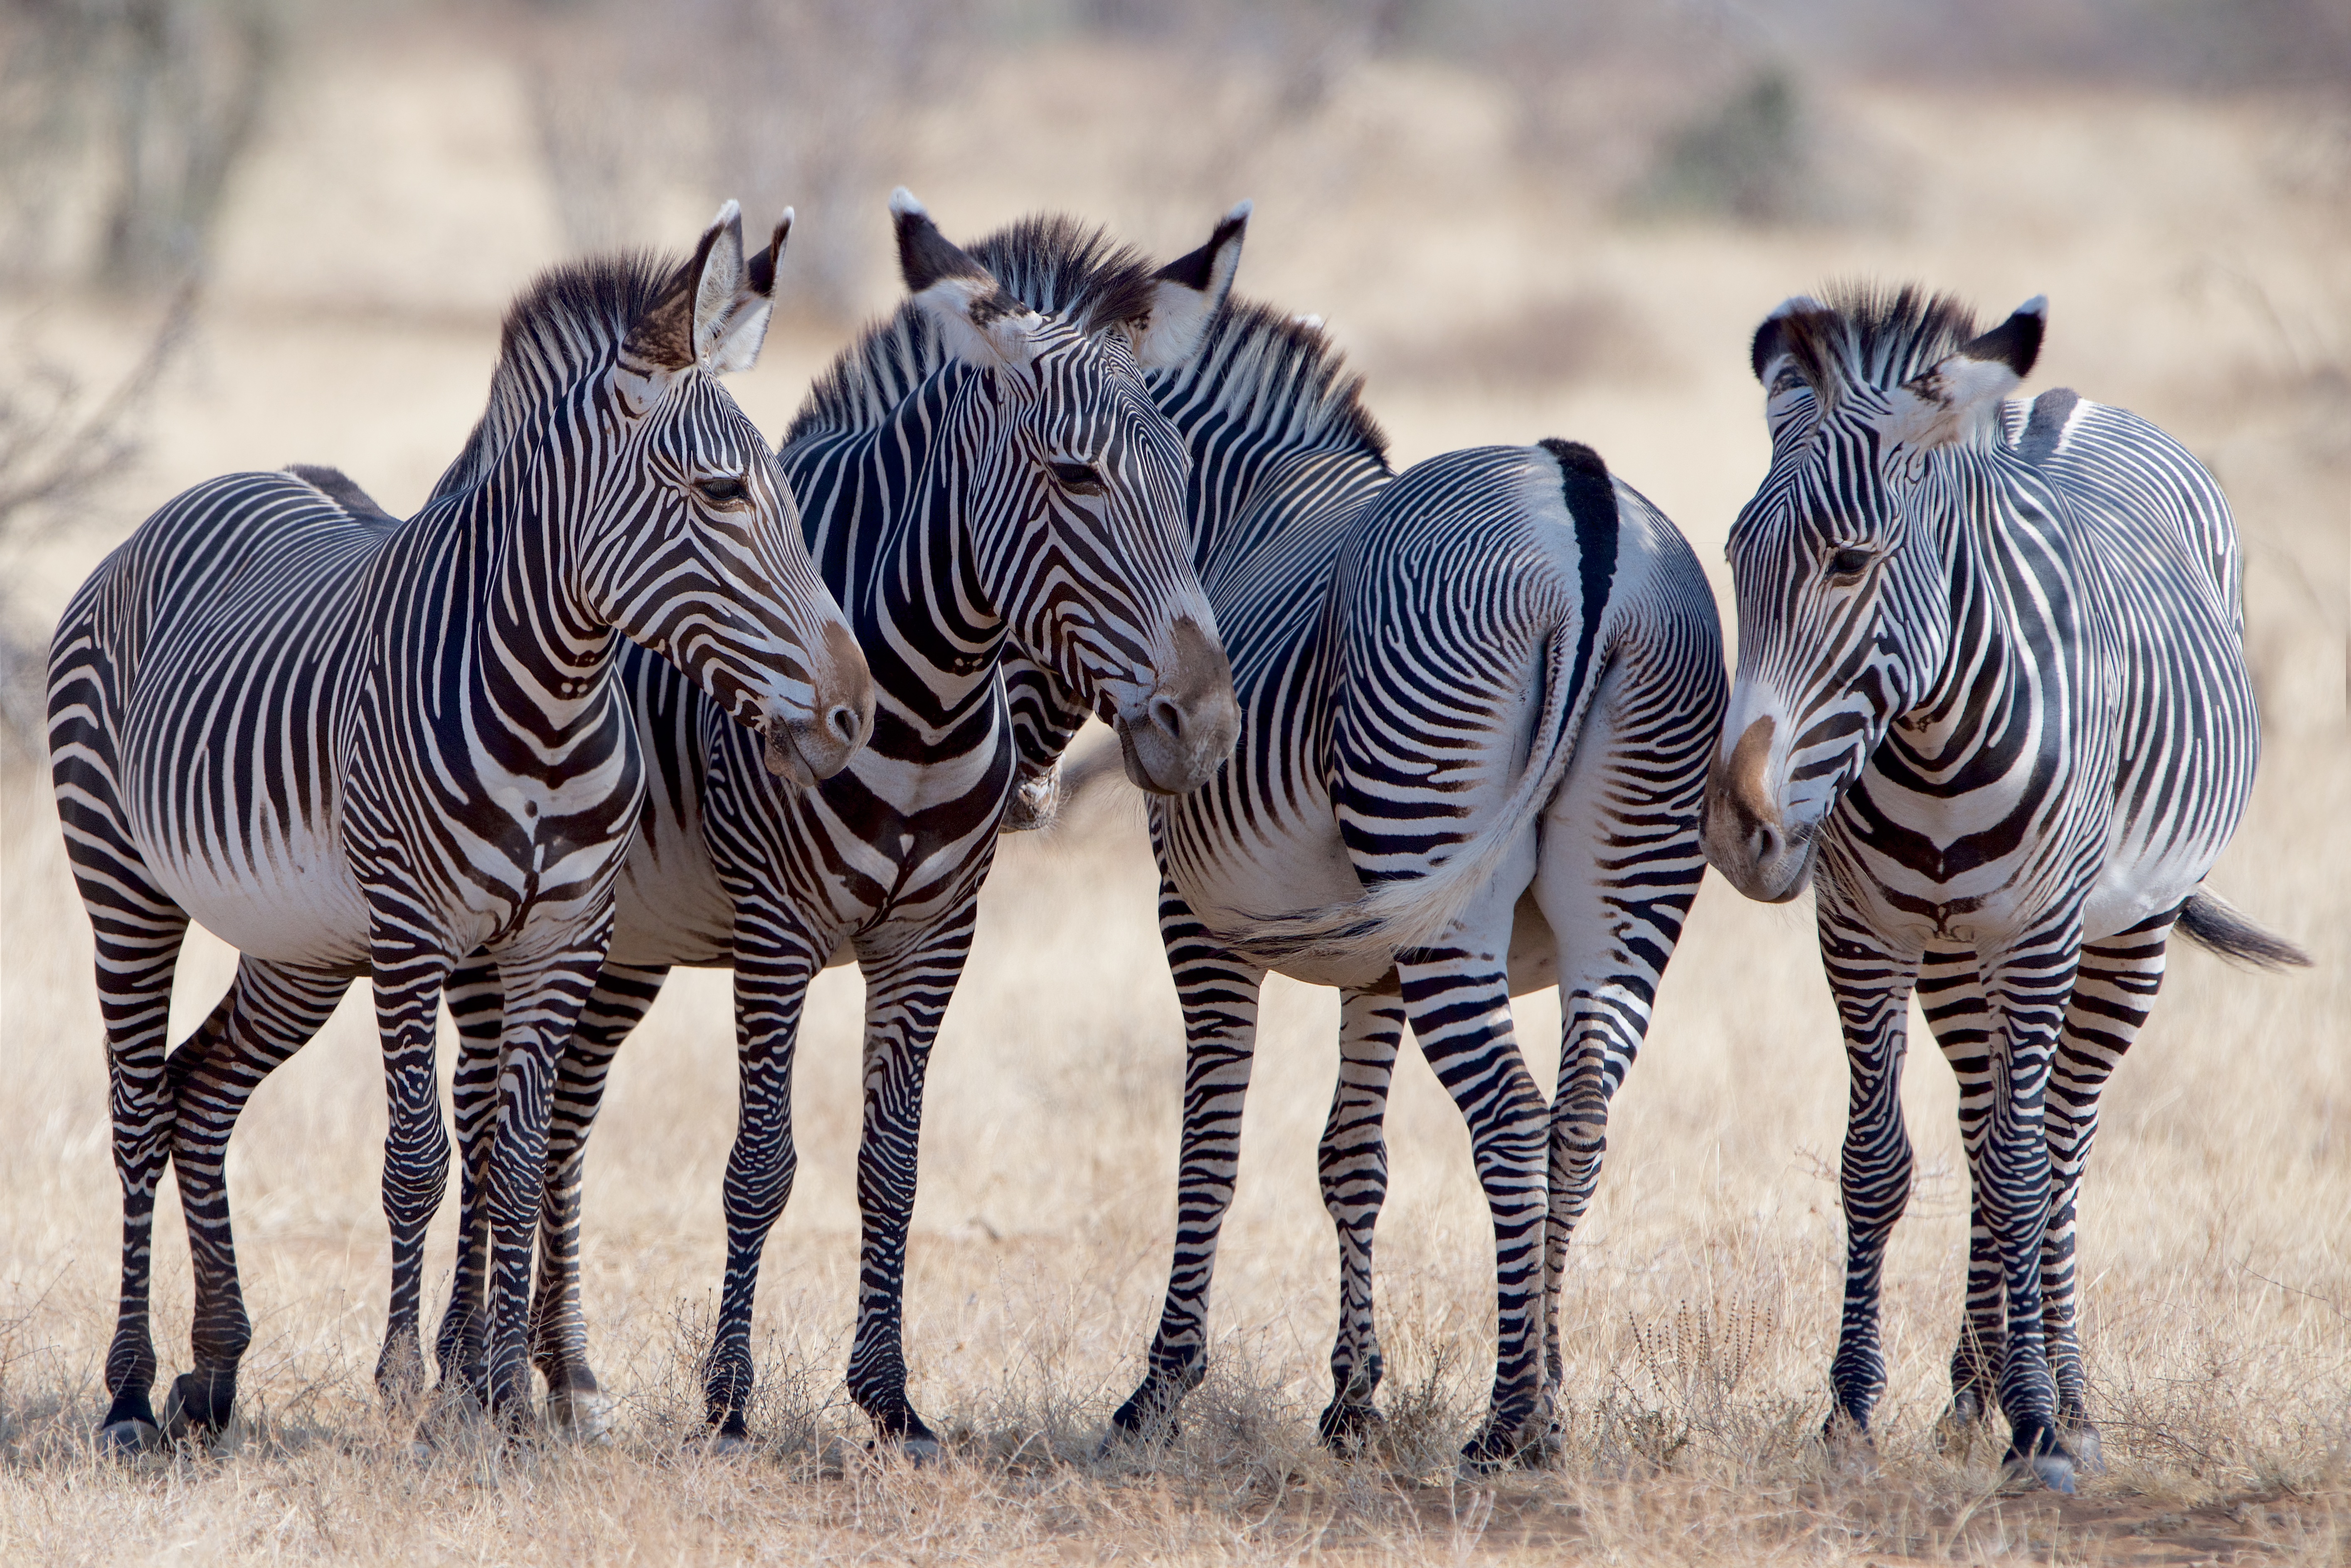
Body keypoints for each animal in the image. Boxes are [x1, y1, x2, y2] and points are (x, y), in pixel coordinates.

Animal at [50, 203, 874, 1453]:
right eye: (727, 493)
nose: (852, 714)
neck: (556, 700)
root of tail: (198, 493)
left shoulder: (563, 937)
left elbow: (518, 1159)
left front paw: (500, 1400)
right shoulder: (411, 932)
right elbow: (421, 1157)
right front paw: (405, 1383)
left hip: (297, 944)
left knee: (200, 1088)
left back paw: (214, 1370)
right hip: (124, 885)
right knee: (140, 1108)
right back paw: (132, 1388)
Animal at [157, 193, 1241, 1451]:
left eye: (1185, 476)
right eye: (1077, 476)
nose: (1206, 726)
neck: (923, 702)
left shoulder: (934, 940)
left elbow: (893, 1167)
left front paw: (890, 1400)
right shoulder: (774, 933)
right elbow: (760, 1166)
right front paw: (728, 1402)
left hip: (623, 943)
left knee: (563, 1122)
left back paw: (563, 1374)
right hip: (482, 935)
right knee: (480, 1118)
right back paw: (465, 1369)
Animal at [1000, 289, 1727, 1465]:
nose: (1023, 796)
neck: (1237, 504)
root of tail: (1583, 503)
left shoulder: (1195, 923)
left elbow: (1210, 1143)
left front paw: (1161, 1388)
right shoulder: (1372, 960)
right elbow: (1353, 1159)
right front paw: (1352, 1400)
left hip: (1437, 855)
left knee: (1511, 1119)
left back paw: (1508, 1423)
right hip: (1629, 882)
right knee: (1576, 1123)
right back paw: (1549, 1396)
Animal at [1700, 283, 2307, 1493]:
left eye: (1851, 563)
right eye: (1736, 553)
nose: (1743, 835)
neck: (1933, 737)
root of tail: (2056, 402)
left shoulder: (2038, 932)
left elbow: (2028, 1172)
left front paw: (2039, 1426)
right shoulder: (1863, 932)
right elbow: (1878, 1163)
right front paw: (1851, 1413)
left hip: (2128, 932)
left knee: (2057, 1142)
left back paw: (2063, 1398)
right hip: (1954, 955)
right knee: (1988, 1127)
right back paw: (1969, 1391)